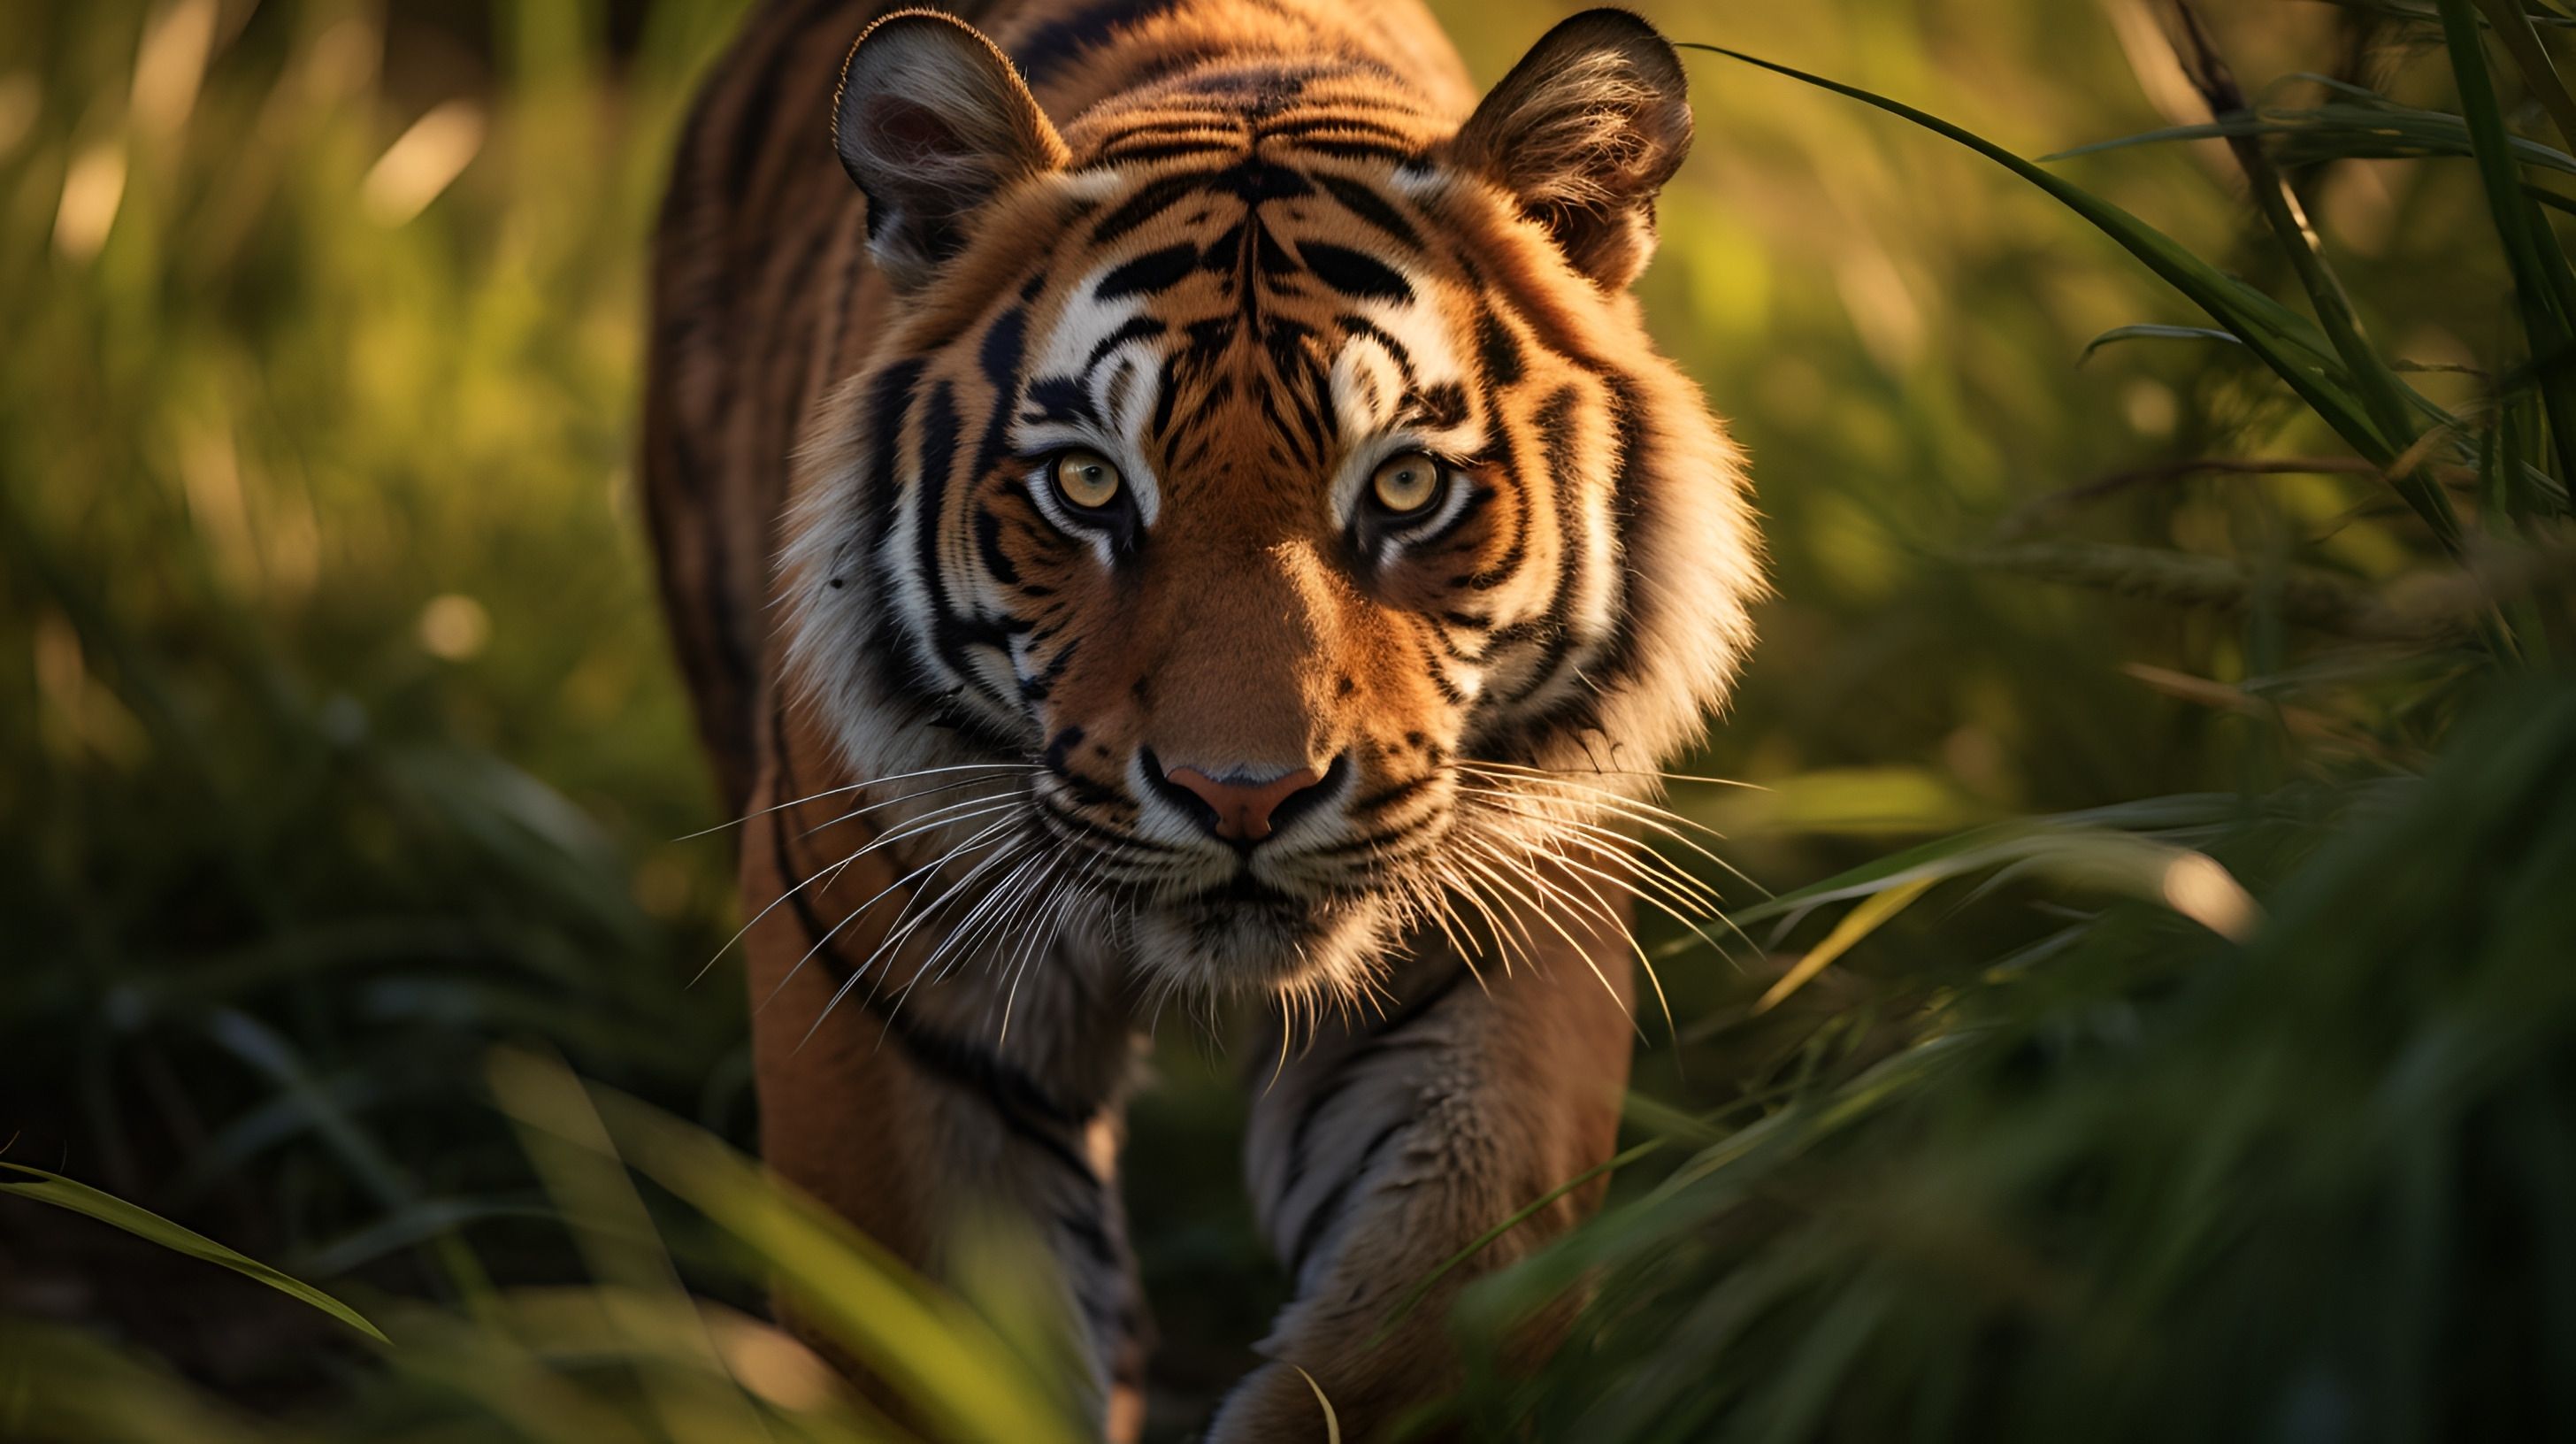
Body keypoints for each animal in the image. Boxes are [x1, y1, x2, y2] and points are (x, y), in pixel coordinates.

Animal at [642, 1, 1761, 1437]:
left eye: (1404, 487)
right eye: (1084, 484)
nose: (1243, 797)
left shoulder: (1510, 959)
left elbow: (1425, 1331)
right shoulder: (888, 1026)